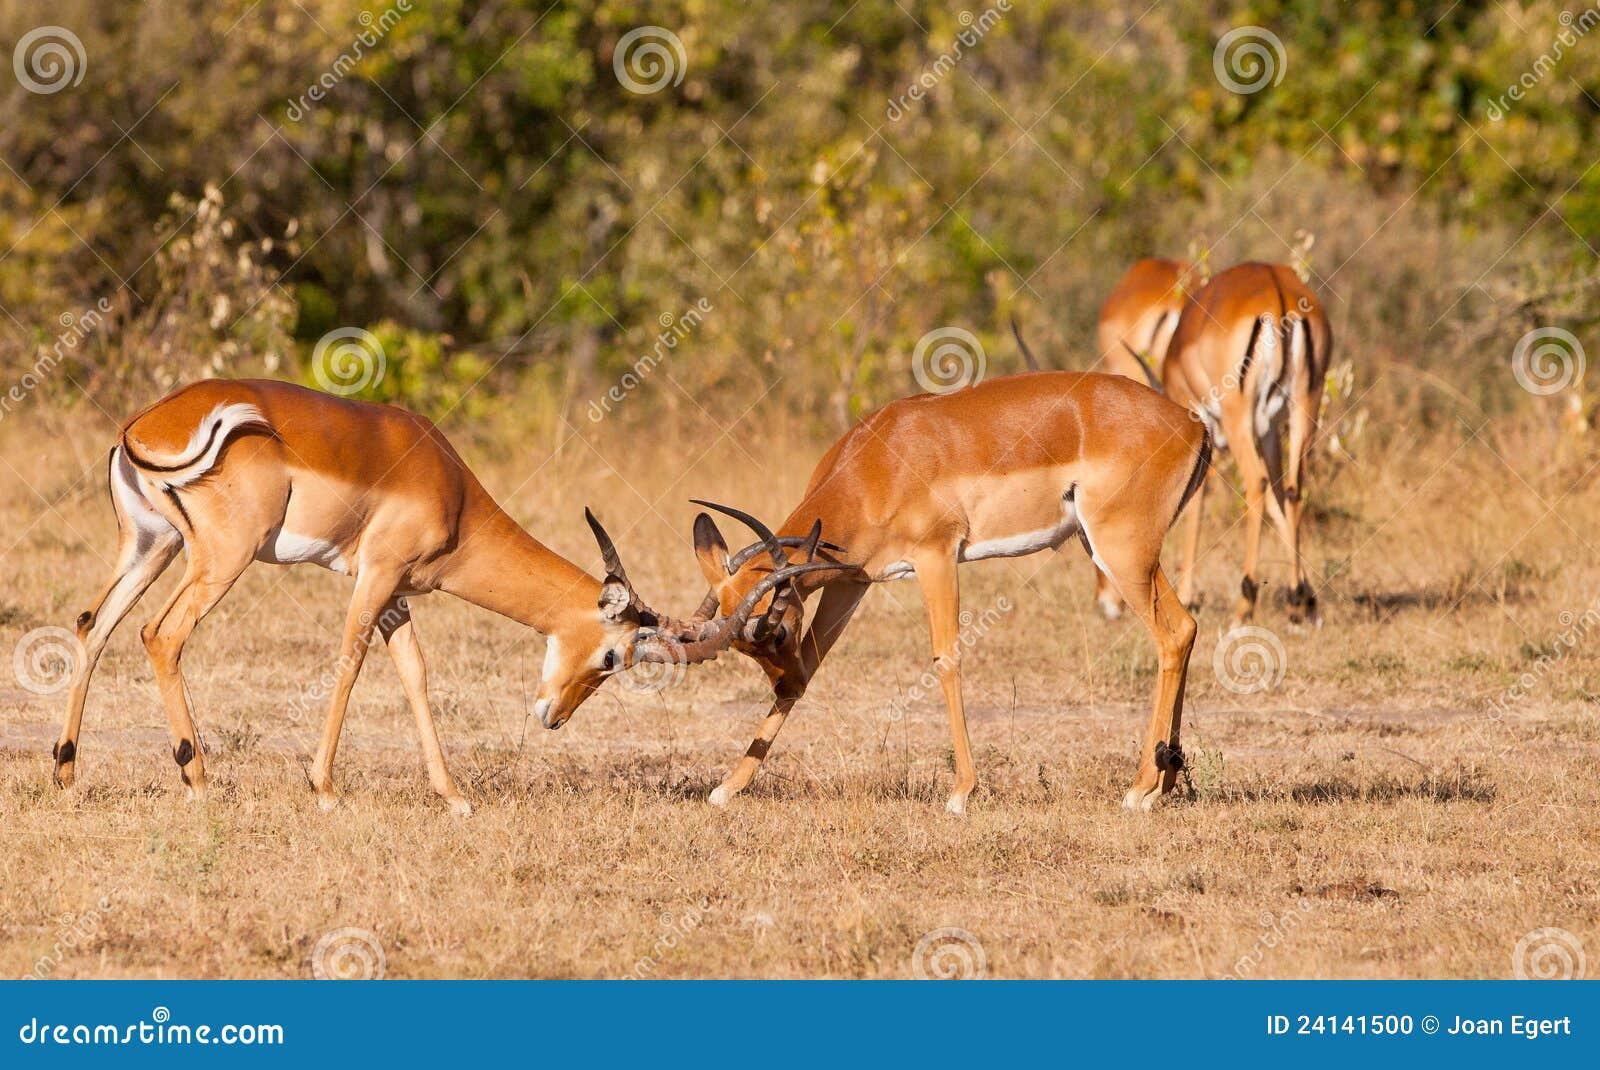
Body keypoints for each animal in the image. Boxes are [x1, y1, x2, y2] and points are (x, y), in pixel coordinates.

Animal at [53, 379, 818, 812]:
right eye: (611, 657)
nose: (552, 717)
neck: (448, 489)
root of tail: (142, 427)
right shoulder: (375, 575)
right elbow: (349, 663)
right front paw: (325, 790)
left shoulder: (400, 593)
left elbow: (417, 675)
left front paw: (453, 798)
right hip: (221, 557)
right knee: (160, 635)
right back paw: (200, 781)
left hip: (151, 547)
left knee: (92, 627)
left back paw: (66, 774)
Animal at [689, 370, 1211, 813]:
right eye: (745, 649)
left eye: (775, 632)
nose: (783, 681)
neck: (875, 464)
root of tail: (1193, 424)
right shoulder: (852, 581)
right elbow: (815, 662)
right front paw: (727, 788)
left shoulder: (935, 556)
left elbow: (946, 659)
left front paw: (961, 793)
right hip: (1125, 555)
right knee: (1186, 627)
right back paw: (1164, 781)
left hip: (1122, 553)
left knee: (1169, 636)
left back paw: (1139, 789)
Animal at [1161, 262, 1332, 626]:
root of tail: (1277, 290)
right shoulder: (1267, 431)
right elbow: (1278, 500)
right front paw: (1306, 598)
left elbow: (1197, 500)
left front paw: (1188, 595)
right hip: (1304, 407)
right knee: (1293, 491)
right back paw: (1294, 601)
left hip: (1239, 416)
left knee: (1256, 484)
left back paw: (1245, 602)